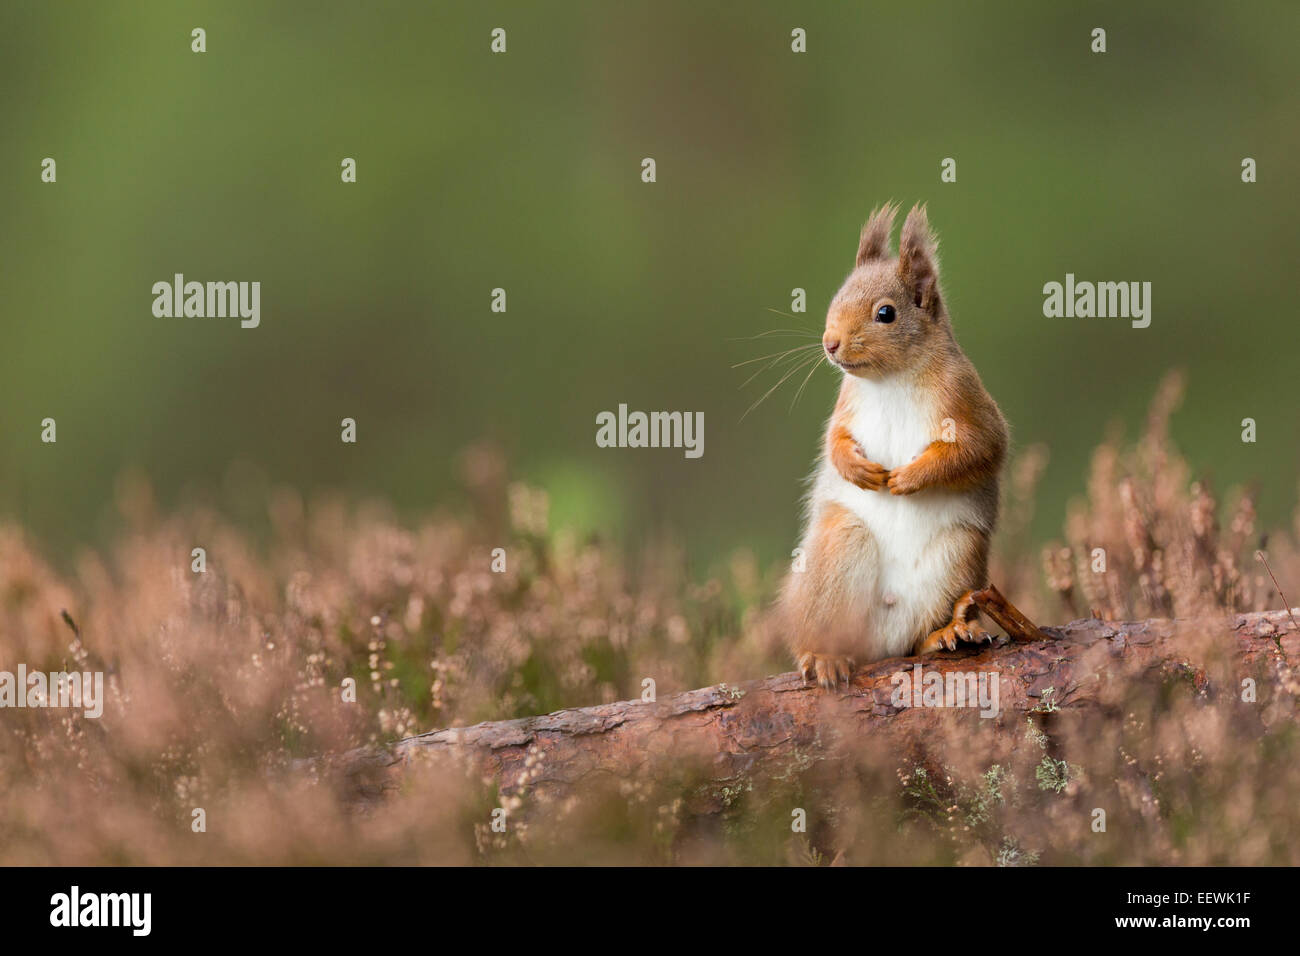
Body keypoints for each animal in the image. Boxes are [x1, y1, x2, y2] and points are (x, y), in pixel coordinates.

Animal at [780, 202, 1009, 689]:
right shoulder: (846, 407)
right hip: (838, 551)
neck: (892, 378)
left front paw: (909, 478)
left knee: (916, 637)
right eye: (835, 298)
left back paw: (946, 633)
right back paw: (824, 656)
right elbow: (834, 443)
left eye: (885, 313)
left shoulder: (969, 404)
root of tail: (879, 644)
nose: (830, 344)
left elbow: (980, 449)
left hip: (959, 552)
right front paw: (860, 470)